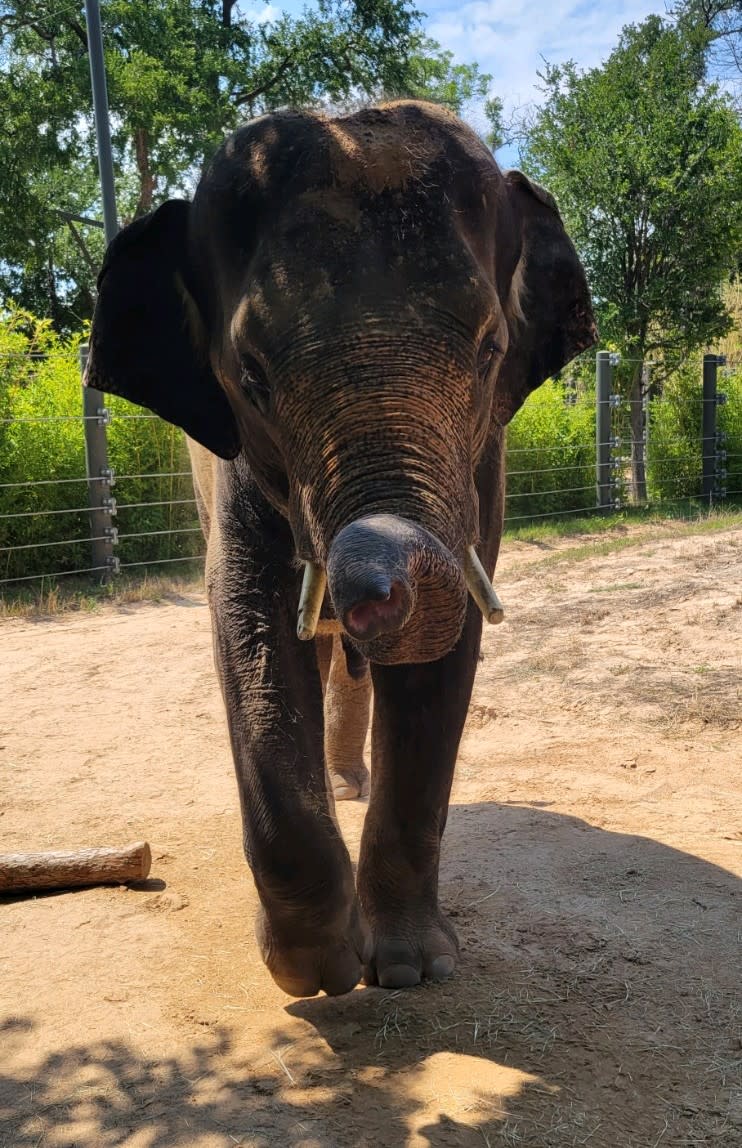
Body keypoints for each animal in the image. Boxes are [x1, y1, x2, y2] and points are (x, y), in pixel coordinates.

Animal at [85, 100, 597, 997]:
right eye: (251, 377)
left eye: (490, 350)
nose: (371, 596)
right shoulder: (234, 469)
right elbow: (249, 622)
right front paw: (318, 973)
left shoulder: (484, 466)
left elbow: (446, 649)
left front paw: (411, 970)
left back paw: (350, 779)